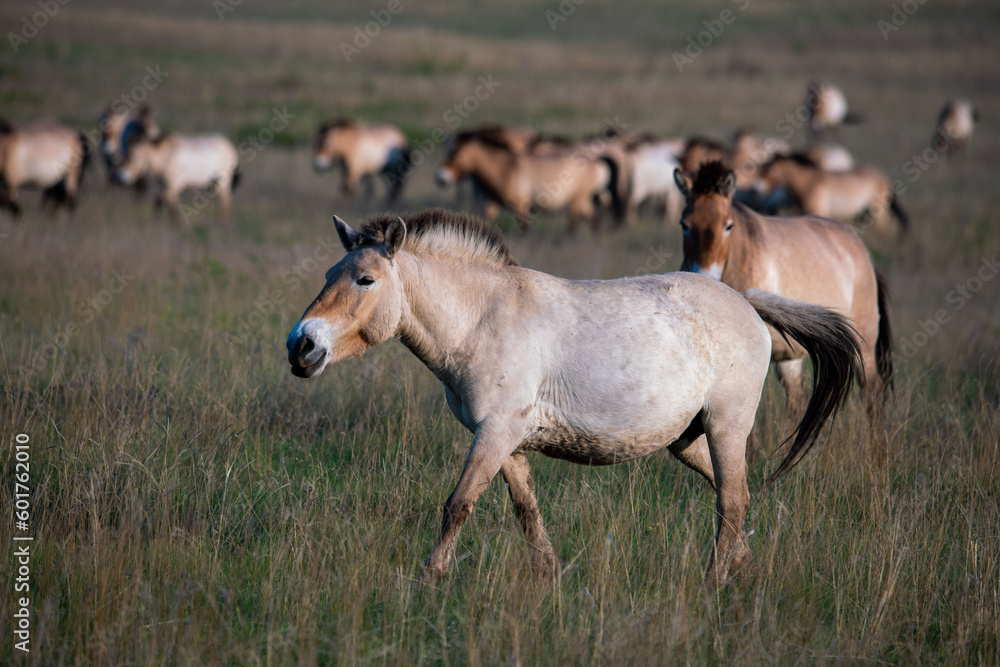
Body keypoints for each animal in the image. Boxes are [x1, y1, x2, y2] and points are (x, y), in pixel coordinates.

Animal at [286, 208, 861, 586]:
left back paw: (716, 579)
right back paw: (742, 566)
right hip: (687, 440)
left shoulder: (495, 434)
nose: (301, 344)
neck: (482, 317)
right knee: (732, 495)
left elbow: (458, 505)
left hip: (726, 428)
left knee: (733, 500)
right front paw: (550, 575)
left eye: (365, 279)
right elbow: (526, 511)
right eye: (329, 275)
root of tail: (745, 302)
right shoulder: (506, 442)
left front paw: (431, 579)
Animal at [435, 135, 624, 233]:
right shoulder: (493, 204)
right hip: (584, 201)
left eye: (457, 154)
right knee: (594, 222)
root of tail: (598, 160)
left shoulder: (521, 205)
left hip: (578, 200)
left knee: (574, 225)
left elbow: (525, 230)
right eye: (448, 151)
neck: (505, 167)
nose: (441, 178)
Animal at [675, 162, 893, 460]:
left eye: (728, 225)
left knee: (872, 394)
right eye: (685, 225)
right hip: (791, 357)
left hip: (864, 348)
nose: (705, 275)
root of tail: (860, 250)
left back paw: (877, 453)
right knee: (798, 401)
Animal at [756, 154, 908, 236]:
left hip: (877, 210)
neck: (809, 183)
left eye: (770, 170)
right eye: (760, 170)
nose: (757, 189)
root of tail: (885, 177)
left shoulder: (818, 212)